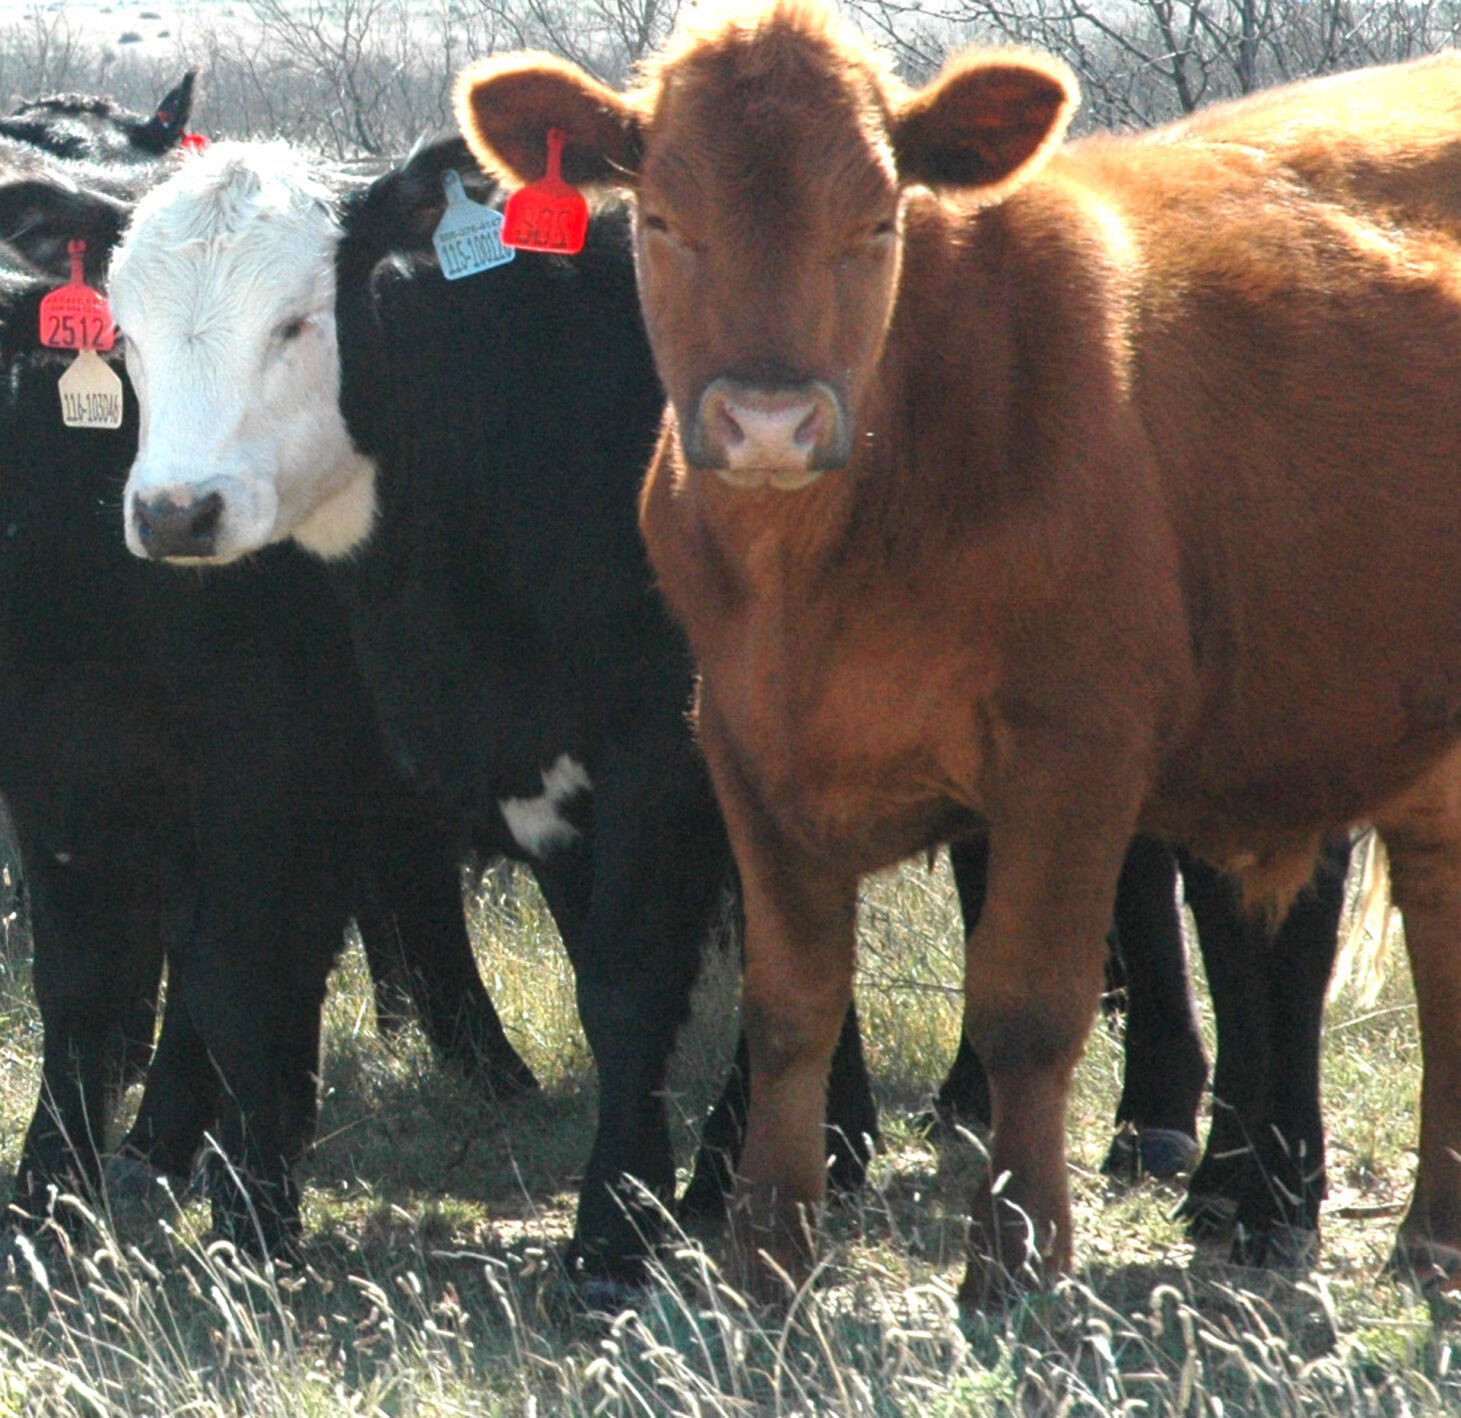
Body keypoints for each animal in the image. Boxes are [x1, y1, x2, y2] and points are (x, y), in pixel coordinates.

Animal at [0, 214, 535, 1256]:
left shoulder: (281, 775)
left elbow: (246, 983)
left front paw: (253, 1220)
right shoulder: (62, 780)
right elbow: (86, 989)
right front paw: (48, 1195)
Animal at [456, 5, 1461, 1306]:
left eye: (878, 221)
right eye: (664, 220)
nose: (769, 422)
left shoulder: (1074, 748)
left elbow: (1028, 1006)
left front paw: (1016, 1259)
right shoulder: (741, 739)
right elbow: (790, 1009)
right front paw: (767, 1254)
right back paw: (1434, 1227)